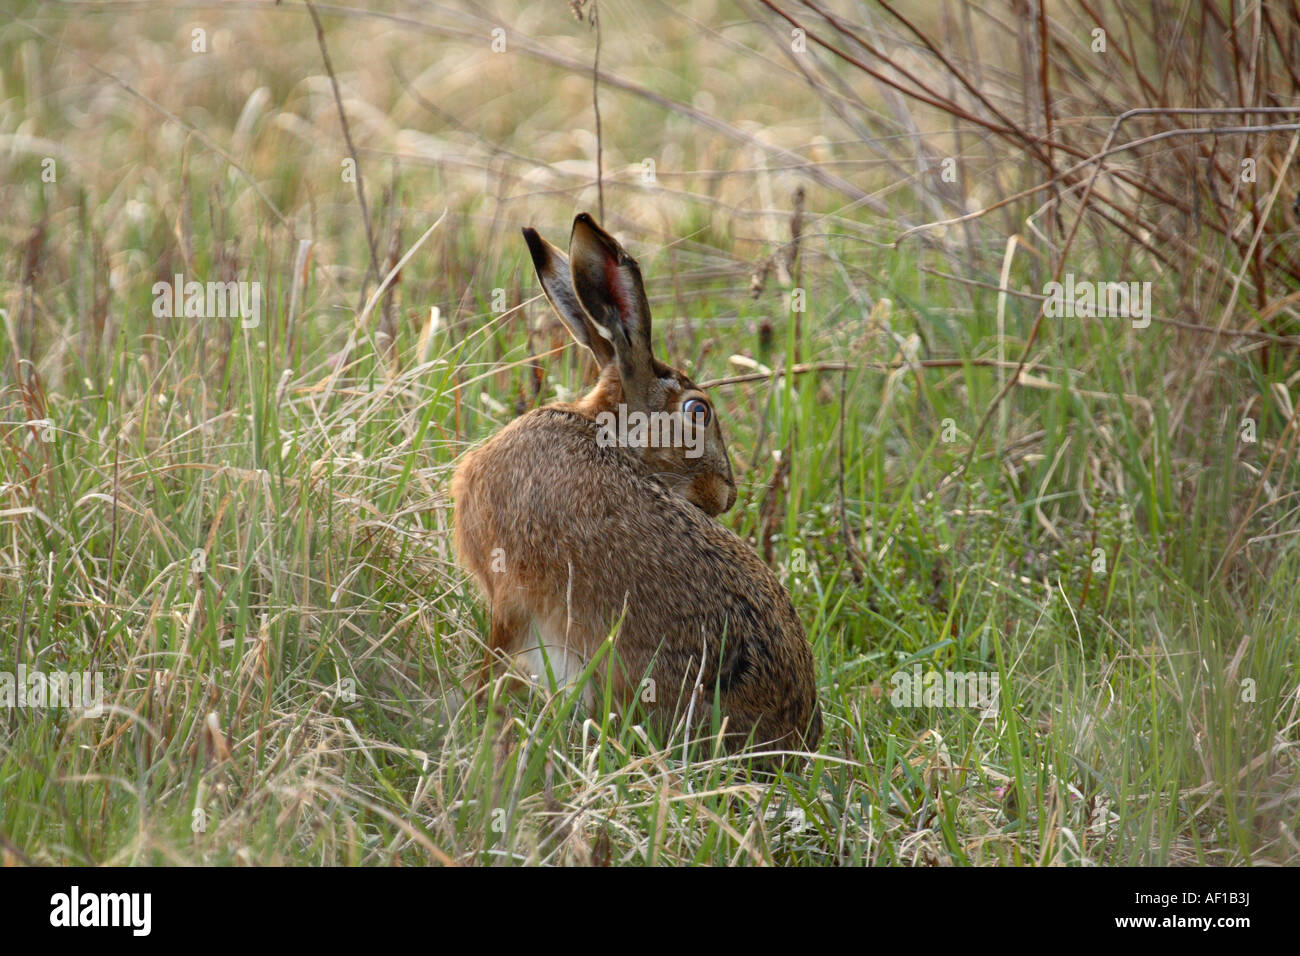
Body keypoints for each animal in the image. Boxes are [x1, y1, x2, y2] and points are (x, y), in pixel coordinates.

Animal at [451, 213, 821, 756]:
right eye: (698, 411)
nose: (727, 495)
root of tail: (786, 745)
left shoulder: (507, 597)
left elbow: (494, 657)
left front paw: (471, 704)